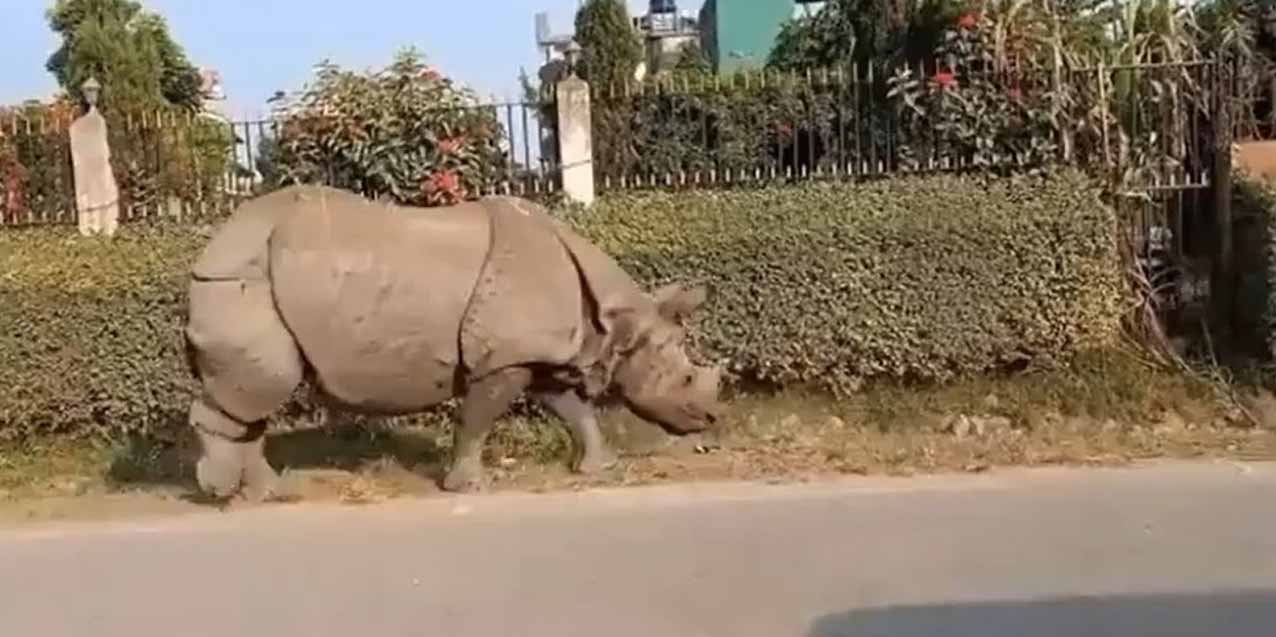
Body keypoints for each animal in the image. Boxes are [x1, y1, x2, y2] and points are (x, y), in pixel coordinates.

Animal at [183, 185, 724, 500]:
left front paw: (599, 471)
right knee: (259, 389)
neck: (616, 323)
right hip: (243, 285)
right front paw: (468, 488)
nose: (711, 419)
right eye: (683, 377)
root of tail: (213, 244)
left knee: (255, 401)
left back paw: (270, 494)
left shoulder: (538, 352)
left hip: (250, 278)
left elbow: (573, 409)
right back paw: (218, 491)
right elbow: (478, 419)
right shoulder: (502, 358)